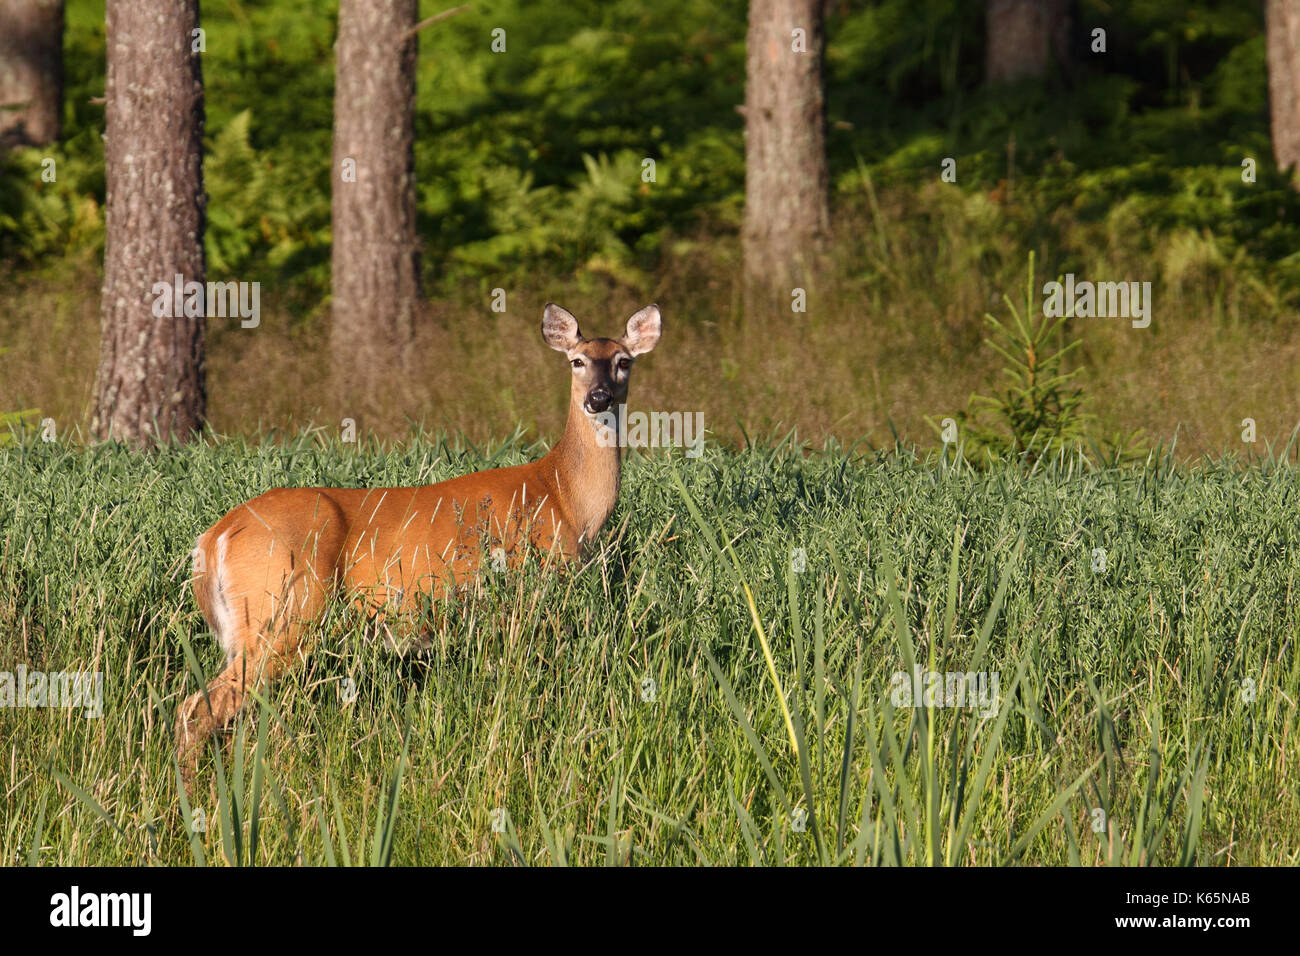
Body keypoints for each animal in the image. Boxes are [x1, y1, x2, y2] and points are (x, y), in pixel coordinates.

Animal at [175, 303, 662, 774]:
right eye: (577, 361)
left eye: (623, 361)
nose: (599, 397)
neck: (564, 497)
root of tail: (214, 537)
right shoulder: (529, 597)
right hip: (282, 610)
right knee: (198, 708)